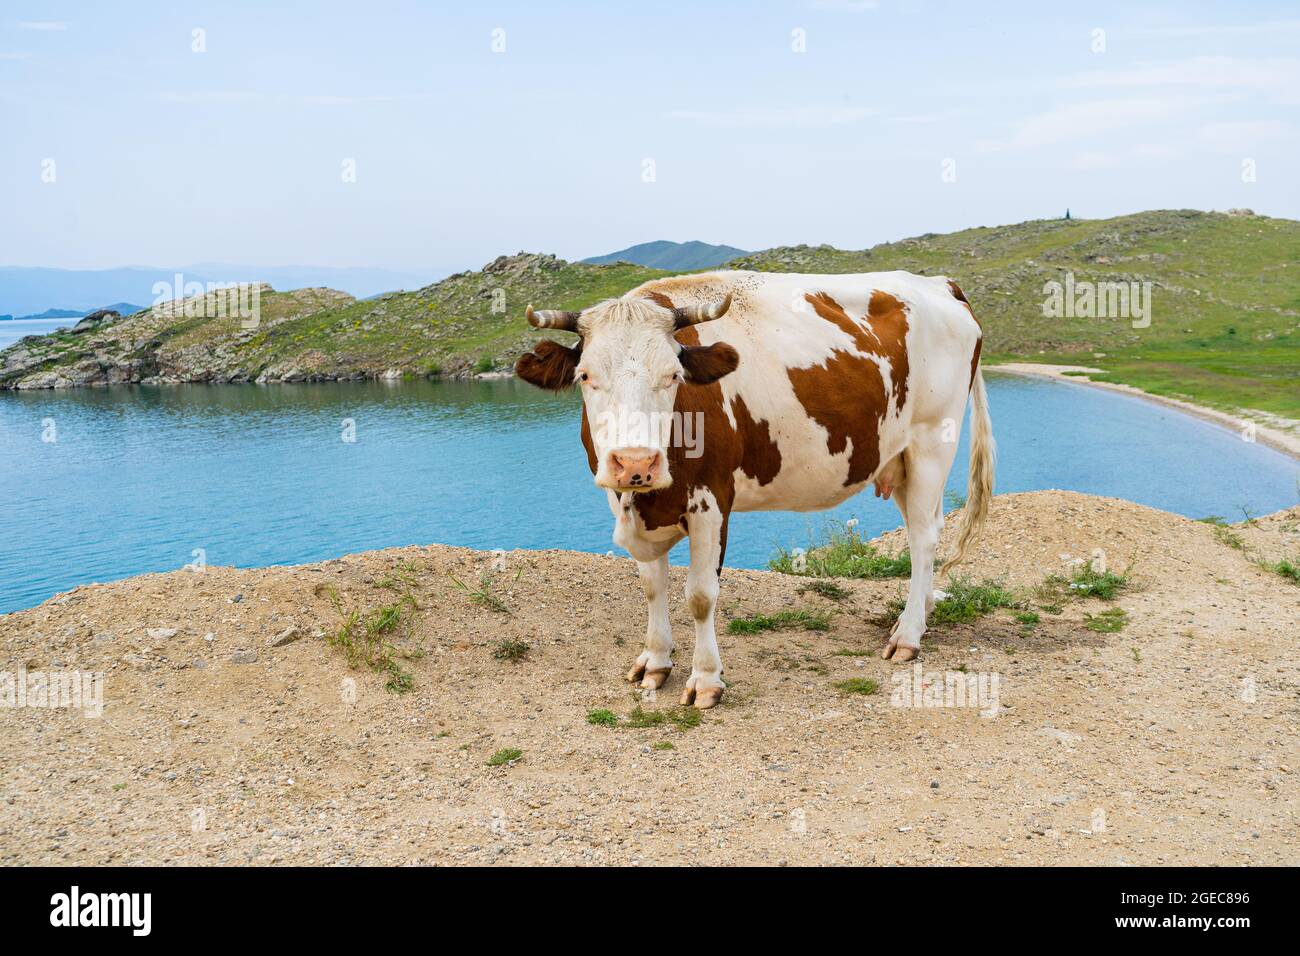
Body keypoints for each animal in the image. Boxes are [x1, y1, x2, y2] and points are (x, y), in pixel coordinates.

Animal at [514, 269, 993, 708]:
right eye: (585, 376)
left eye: (673, 376)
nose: (636, 462)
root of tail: (938, 282)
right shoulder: (623, 499)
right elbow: (652, 585)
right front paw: (655, 661)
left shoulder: (711, 501)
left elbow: (700, 595)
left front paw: (706, 679)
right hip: (897, 459)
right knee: (925, 528)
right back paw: (920, 613)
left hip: (932, 441)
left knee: (923, 537)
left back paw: (909, 635)